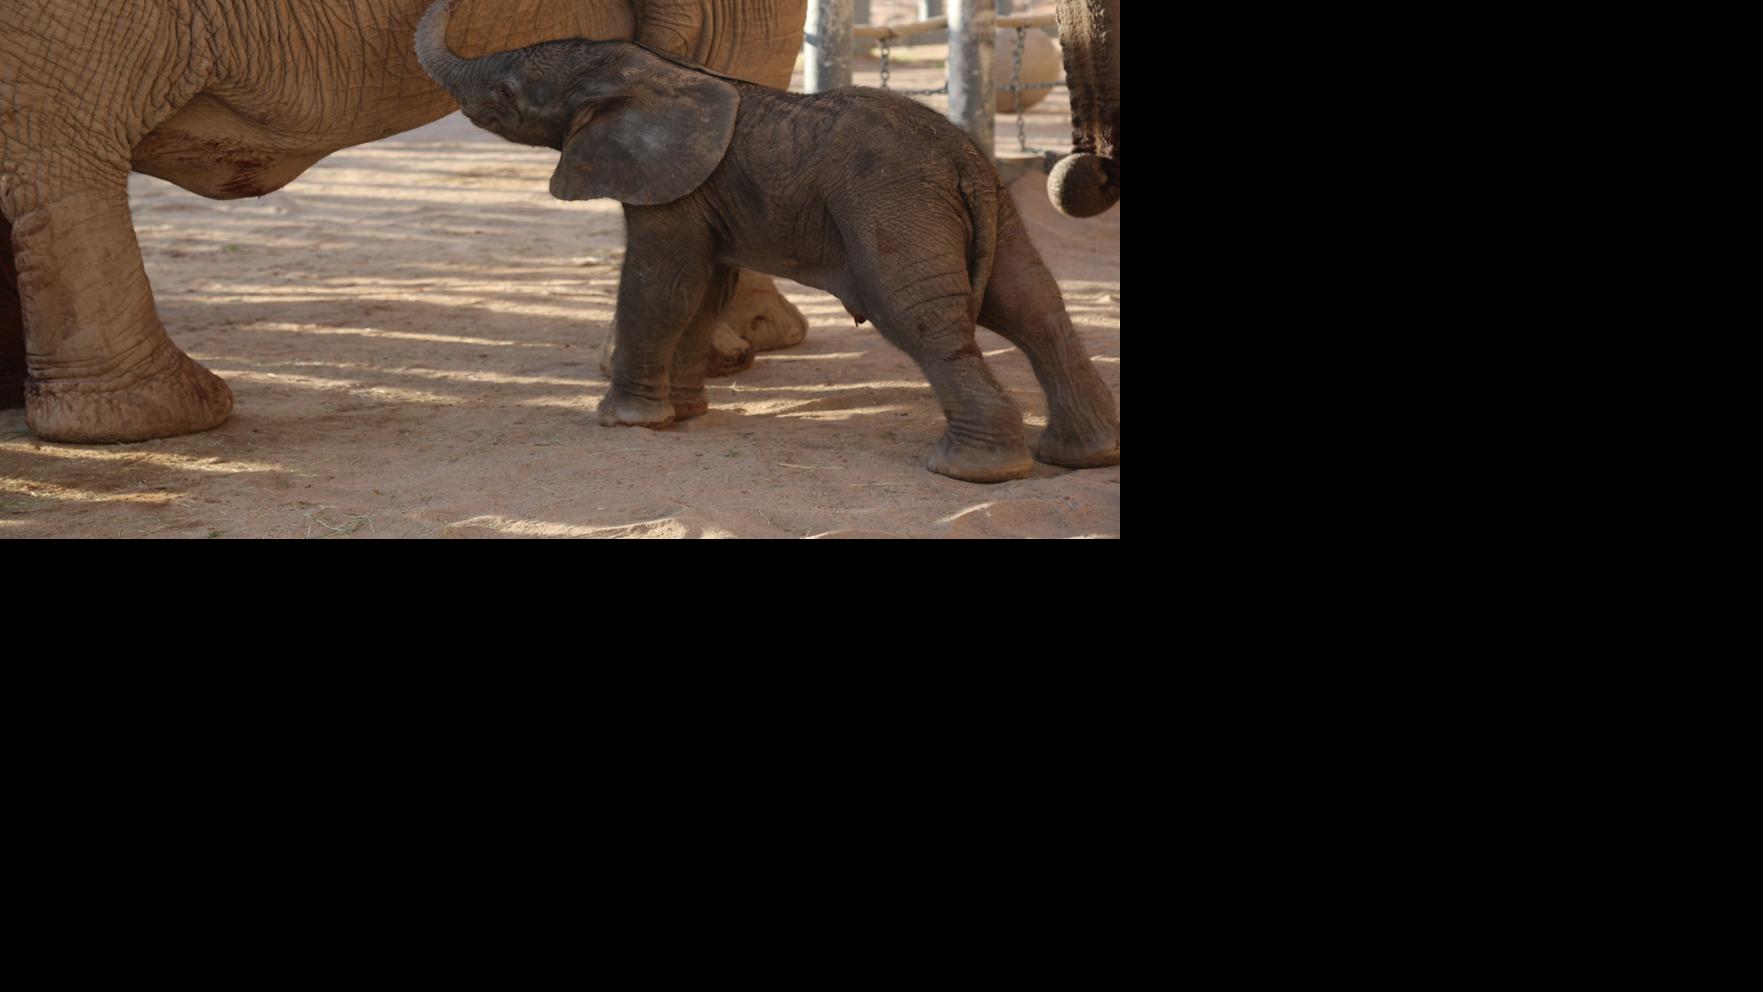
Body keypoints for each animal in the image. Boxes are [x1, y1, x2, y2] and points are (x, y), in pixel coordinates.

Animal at [415, 0, 1119, 483]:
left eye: (506, 92)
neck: (649, 72)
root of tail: (964, 161)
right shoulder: (705, 194)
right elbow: (703, 289)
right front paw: (686, 415)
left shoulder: (671, 186)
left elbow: (661, 284)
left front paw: (624, 423)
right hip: (988, 207)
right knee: (1033, 305)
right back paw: (1083, 456)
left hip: (895, 209)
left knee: (923, 317)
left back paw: (971, 470)